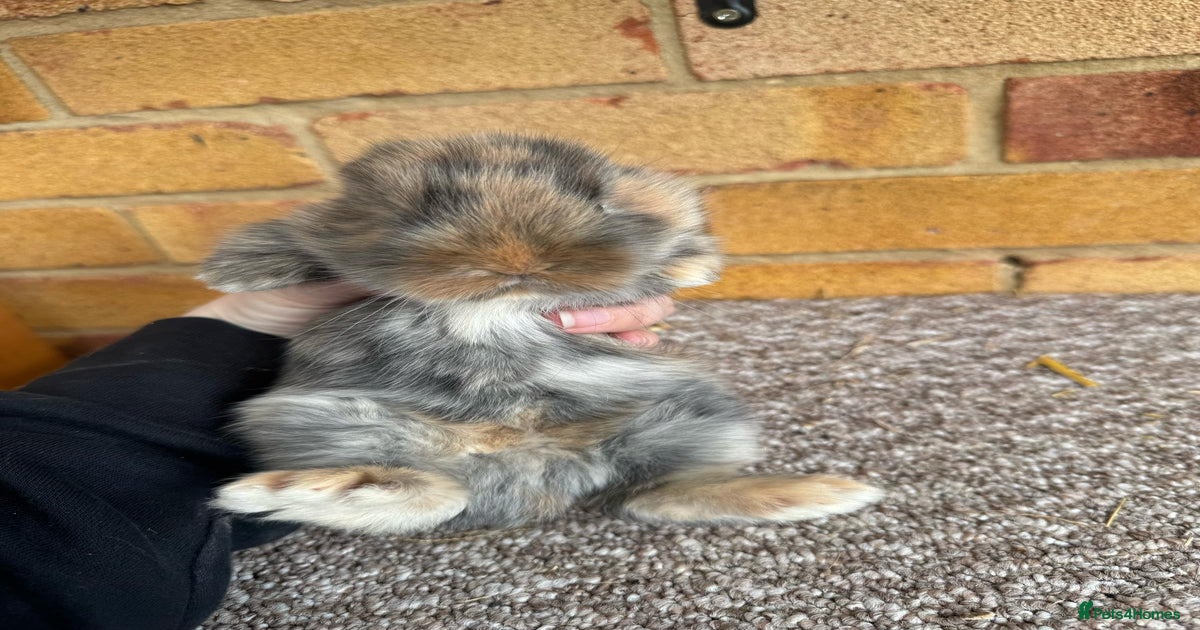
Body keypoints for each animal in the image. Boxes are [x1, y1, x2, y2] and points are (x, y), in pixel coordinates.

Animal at [200, 132, 883, 535]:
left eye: (599, 202)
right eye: (429, 208)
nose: (516, 259)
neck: (506, 305)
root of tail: (532, 476)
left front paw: (693, 263)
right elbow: (299, 240)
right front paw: (234, 268)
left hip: (695, 418)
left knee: (655, 495)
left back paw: (833, 492)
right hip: (318, 421)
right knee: (434, 493)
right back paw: (265, 491)